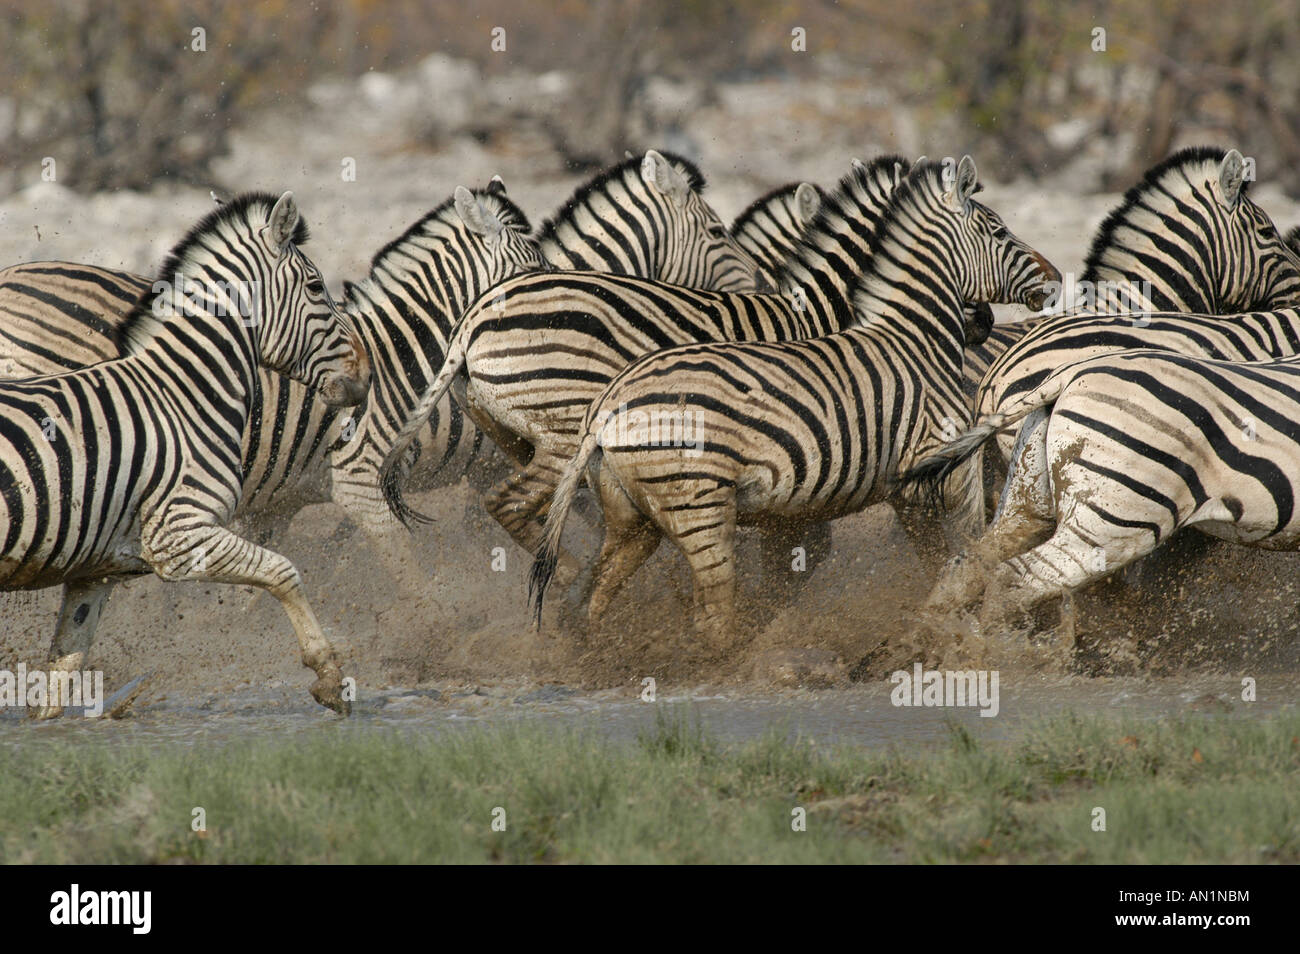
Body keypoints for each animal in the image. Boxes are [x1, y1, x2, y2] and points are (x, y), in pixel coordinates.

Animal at [0, 192, 370, 716]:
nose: (366, 375)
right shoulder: (180, 537)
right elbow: (284, 571)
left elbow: (60, 673)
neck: (182, 393)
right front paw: (330, 678)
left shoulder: (94, 571)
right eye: (318, 287)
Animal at [527, 157, 1060, 647]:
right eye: (998, 229)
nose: (1055, 279)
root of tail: (608, 407)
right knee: (711, 619)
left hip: (633, 519)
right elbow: (955, 546)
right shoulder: (934, 471)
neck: (914, 336)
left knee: (594, 597)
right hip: (699, 505)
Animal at [899, 345, 1300, 664]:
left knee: (967, 565)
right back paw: (1004, 656)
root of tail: (1068, 375)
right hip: (1114, 525)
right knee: (1018, 579)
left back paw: (918, 645)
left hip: (1028, 498)